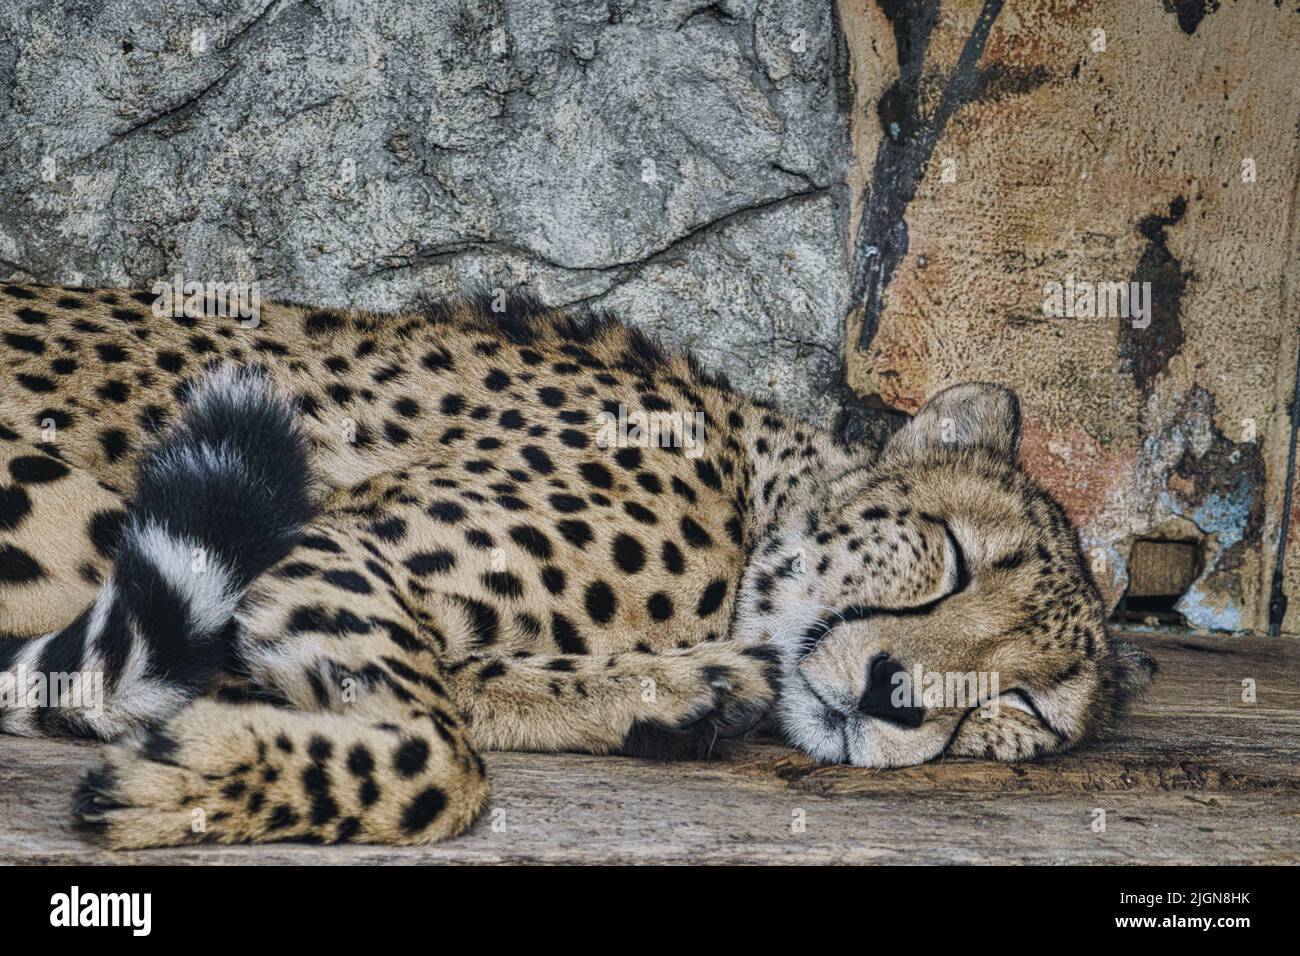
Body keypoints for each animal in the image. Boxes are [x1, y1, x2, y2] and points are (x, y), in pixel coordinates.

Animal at [0, 281, 1155, 848]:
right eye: (955, 557)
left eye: (1021, 705)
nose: (897, 694)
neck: (749, 493)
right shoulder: (324, 536)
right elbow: (441, 756)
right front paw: (194, 780)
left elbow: (456, 688)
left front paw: (676, 693)